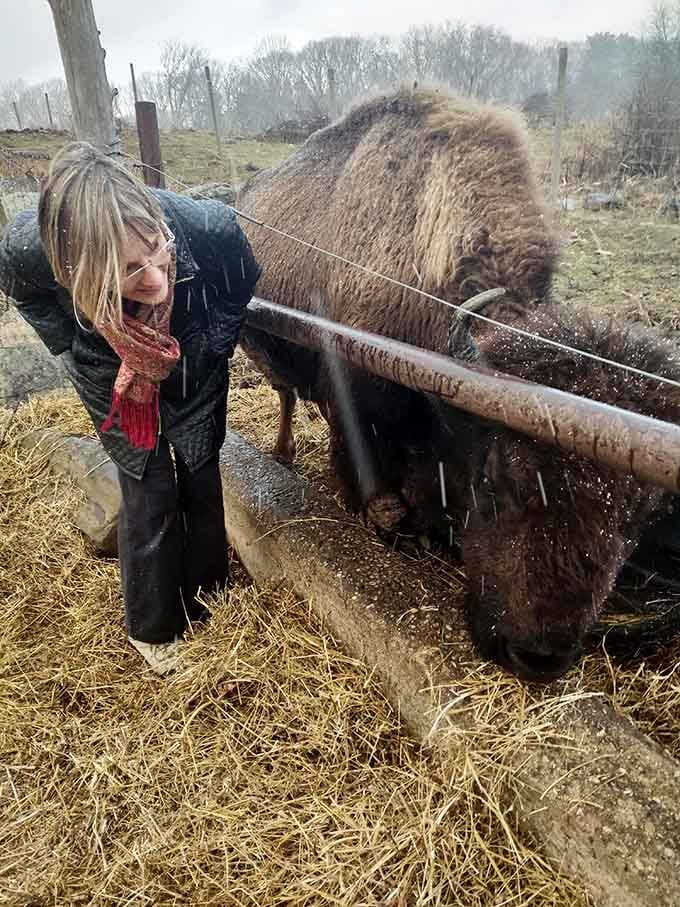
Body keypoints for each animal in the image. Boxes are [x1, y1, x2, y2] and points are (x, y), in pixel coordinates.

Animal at [237, 87, 680, 681]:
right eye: (494, 476)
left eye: (642, 514)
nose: (536, 657)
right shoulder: (353, 398)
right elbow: (369, 478)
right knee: (284, 394)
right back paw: (282, 453)